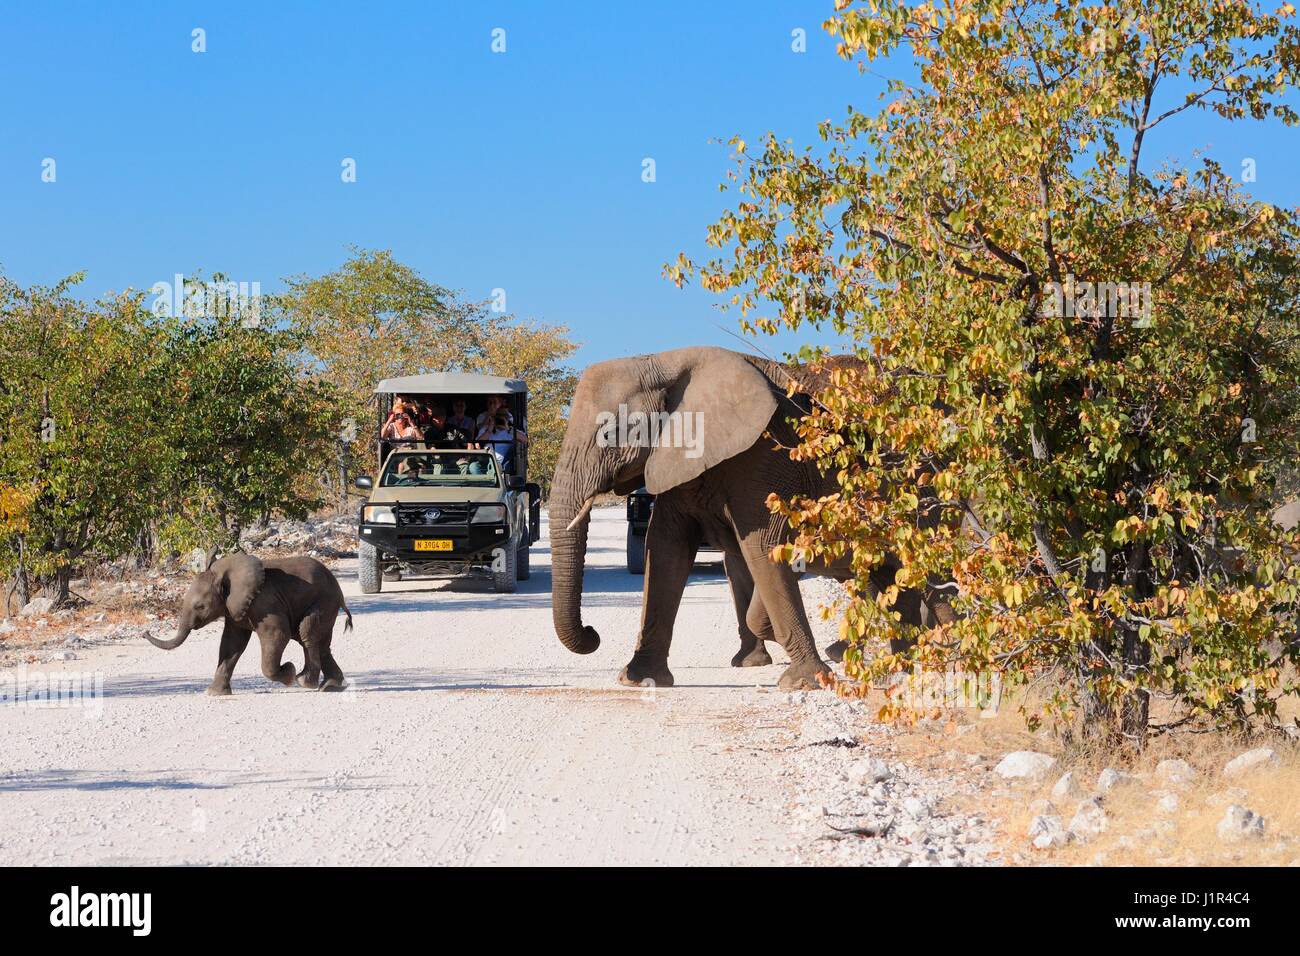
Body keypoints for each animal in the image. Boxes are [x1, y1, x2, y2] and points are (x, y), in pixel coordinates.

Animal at [148, 553, 352, 696]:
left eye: (200, 606)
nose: (145, 632)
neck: (223, 575)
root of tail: (339, 591)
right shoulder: (235, 608)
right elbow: (231, 643)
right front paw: (214, 693)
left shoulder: (264, 602)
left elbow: (278, 634)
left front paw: (289, 672)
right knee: (320, 642)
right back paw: (331, 686)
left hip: (324, 602)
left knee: (306, 633)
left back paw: (304, 681)